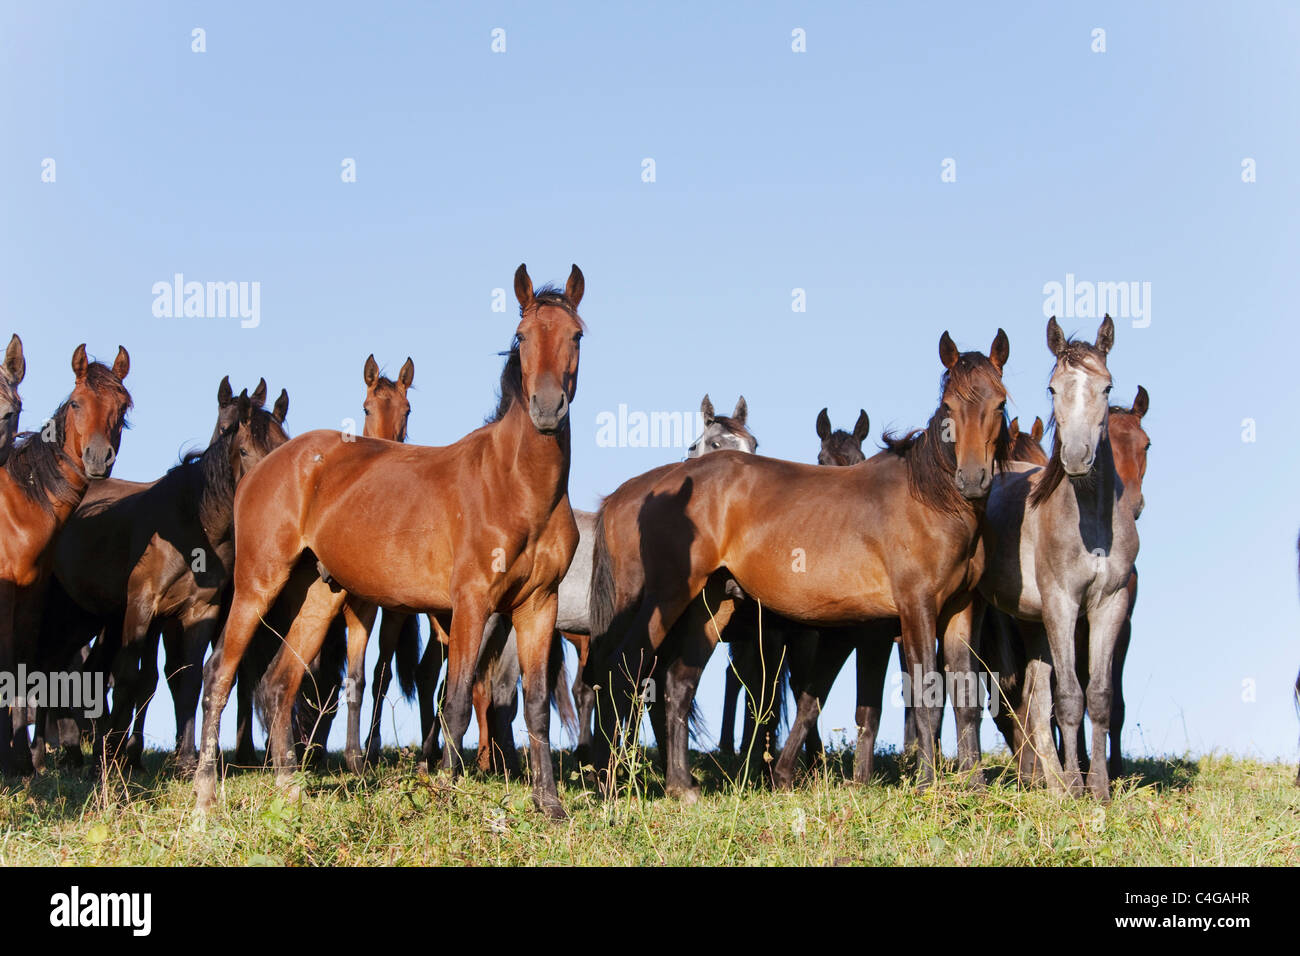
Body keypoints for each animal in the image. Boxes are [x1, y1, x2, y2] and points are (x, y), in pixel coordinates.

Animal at [0, 344, 132, 775]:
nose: (97, 458)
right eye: (76, 403)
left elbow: (22, 667)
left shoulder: (30, 598)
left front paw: (22, 761)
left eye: (122, 406)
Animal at [41, 383, 289, 769]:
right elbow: (132, 678)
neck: (193, 526)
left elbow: (187, 678)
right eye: (244, 449)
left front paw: (186, 759)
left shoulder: (198, 612)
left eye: (283, 446)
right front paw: (114, 756)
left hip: (92, 616)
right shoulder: (143, 607)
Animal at [196, 264, 585, 818]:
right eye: (523, 336)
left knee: (277, 683)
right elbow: (456, 701)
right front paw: (445, 796)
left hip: (320, 595)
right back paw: (206, 794)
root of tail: (265, 467)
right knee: (220, 675)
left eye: (576, 335)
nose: (548, 409)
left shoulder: (537, 605)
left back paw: (291, 791)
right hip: (258, 585)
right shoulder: (469, 603)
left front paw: (549, 805)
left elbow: (534, 706)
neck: (518, 485)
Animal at [587, 330, 1011, 798]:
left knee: (677, 683)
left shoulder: (960, 610)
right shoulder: (912, 610)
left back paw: (682, 786)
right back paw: (609, 781)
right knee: (623, 670)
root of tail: (634, 492)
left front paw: (974, 786)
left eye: (1000, 403)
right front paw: (926, 785)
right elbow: (923, 694)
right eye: (949, 407)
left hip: (712, 604)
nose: (972, 479)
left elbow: (965, 695)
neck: (929, 499)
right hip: (664, 598)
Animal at [972, 315, 1138, 800]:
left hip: (1032, 620)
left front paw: (1098, 787)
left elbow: (1097, 697)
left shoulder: (1109, 605)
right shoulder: (1063, 605)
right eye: (1052, 387)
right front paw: (1080, 790)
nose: (1078, 457)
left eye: (1106, 386)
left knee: (1033, 696)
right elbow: (1069, 698)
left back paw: (1052, 782)